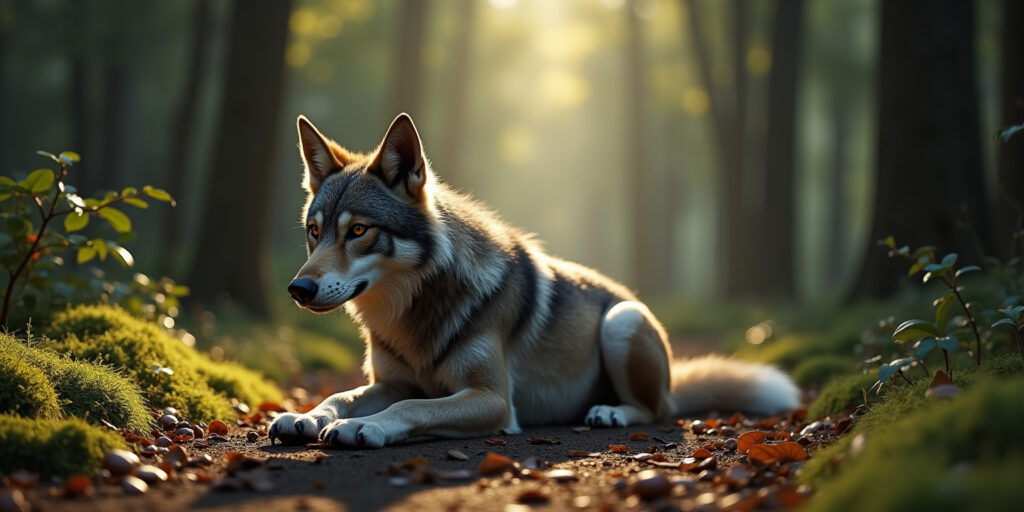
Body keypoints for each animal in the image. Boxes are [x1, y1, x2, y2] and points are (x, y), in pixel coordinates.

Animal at [268, 113, 800, 448]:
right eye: (315, 232)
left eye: (358, 231)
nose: (298, 290)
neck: (413, 311)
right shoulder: (391, 382)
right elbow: (339, 396)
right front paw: (306, 416)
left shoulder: (493, 400)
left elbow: (411, 409)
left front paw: (364, 429)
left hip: (622, 323)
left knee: (658, 410)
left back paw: (610, 413)